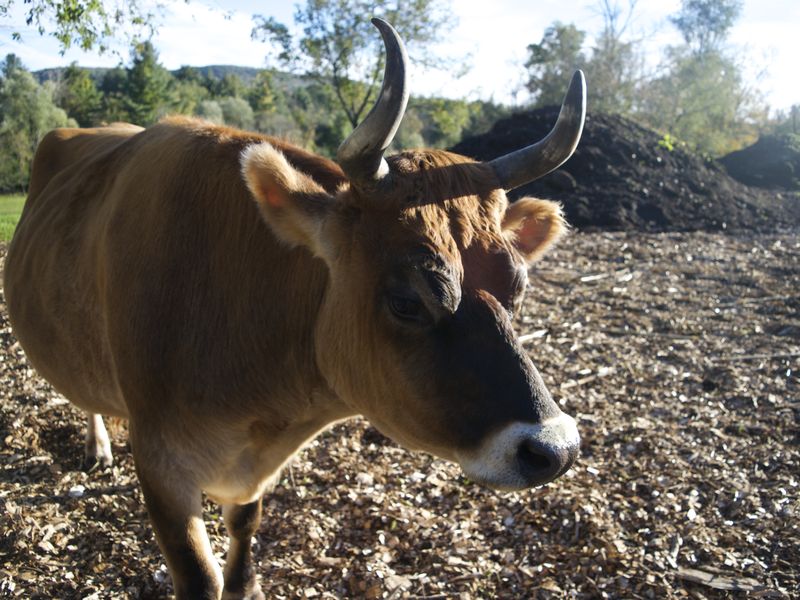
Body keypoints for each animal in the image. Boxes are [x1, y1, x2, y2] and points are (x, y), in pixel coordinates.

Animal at [4, 18, 585, 600]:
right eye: (406, 300)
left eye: (517, 289)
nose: (555, 449)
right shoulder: (161, 466)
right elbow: (197, 575)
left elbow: (245, 522)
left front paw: (244, 583)